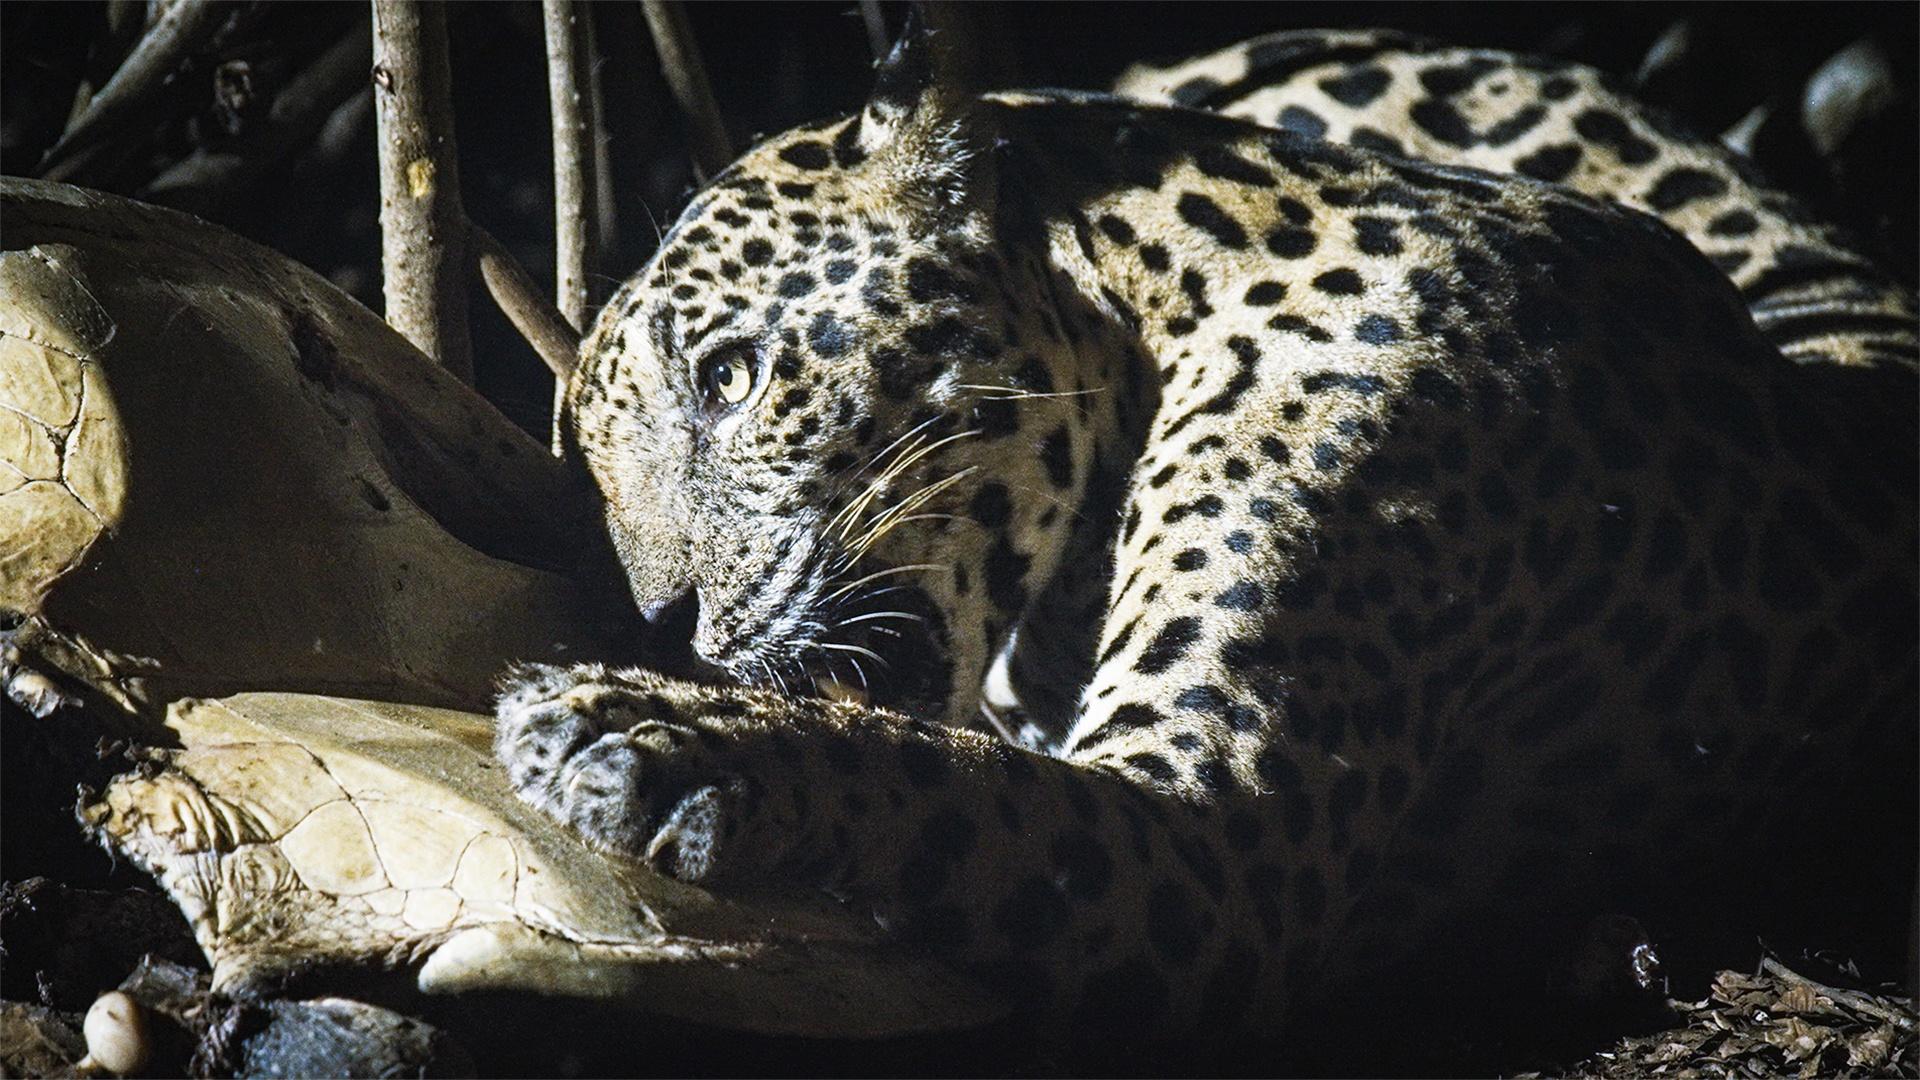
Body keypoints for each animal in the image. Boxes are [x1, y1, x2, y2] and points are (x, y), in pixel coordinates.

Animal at [494, 20, 1918, 1049]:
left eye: (731, 377)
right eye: (597, 477)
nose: (664, 624)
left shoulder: (1217, 824)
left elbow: (939, 774)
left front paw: (646, 727)